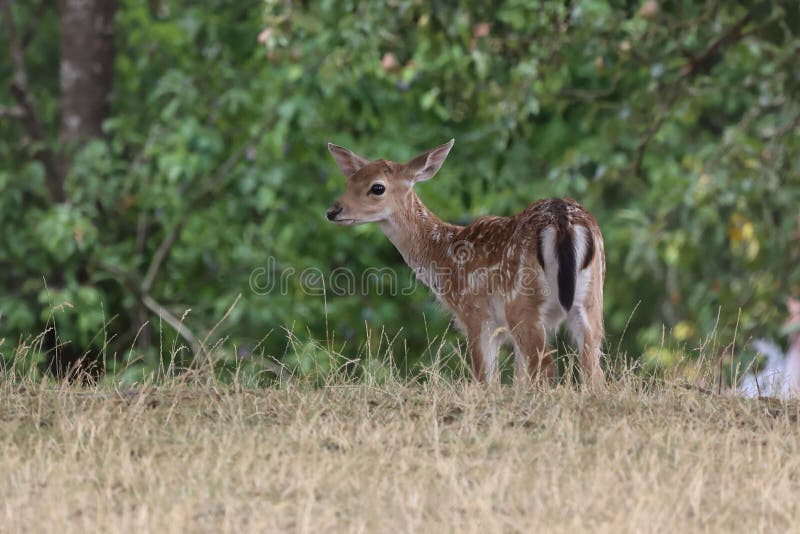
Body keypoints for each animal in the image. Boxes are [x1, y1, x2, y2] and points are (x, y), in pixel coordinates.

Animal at [326, 139, 605, 386]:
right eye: (349, 182)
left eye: (377, 187)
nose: (333, 211)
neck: (443, 252)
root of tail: (563, 221)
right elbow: (517, 379)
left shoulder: (475, 313)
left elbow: (484, 378)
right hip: (590, 299)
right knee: (593, 369)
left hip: (522, 303)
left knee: (546, 365)